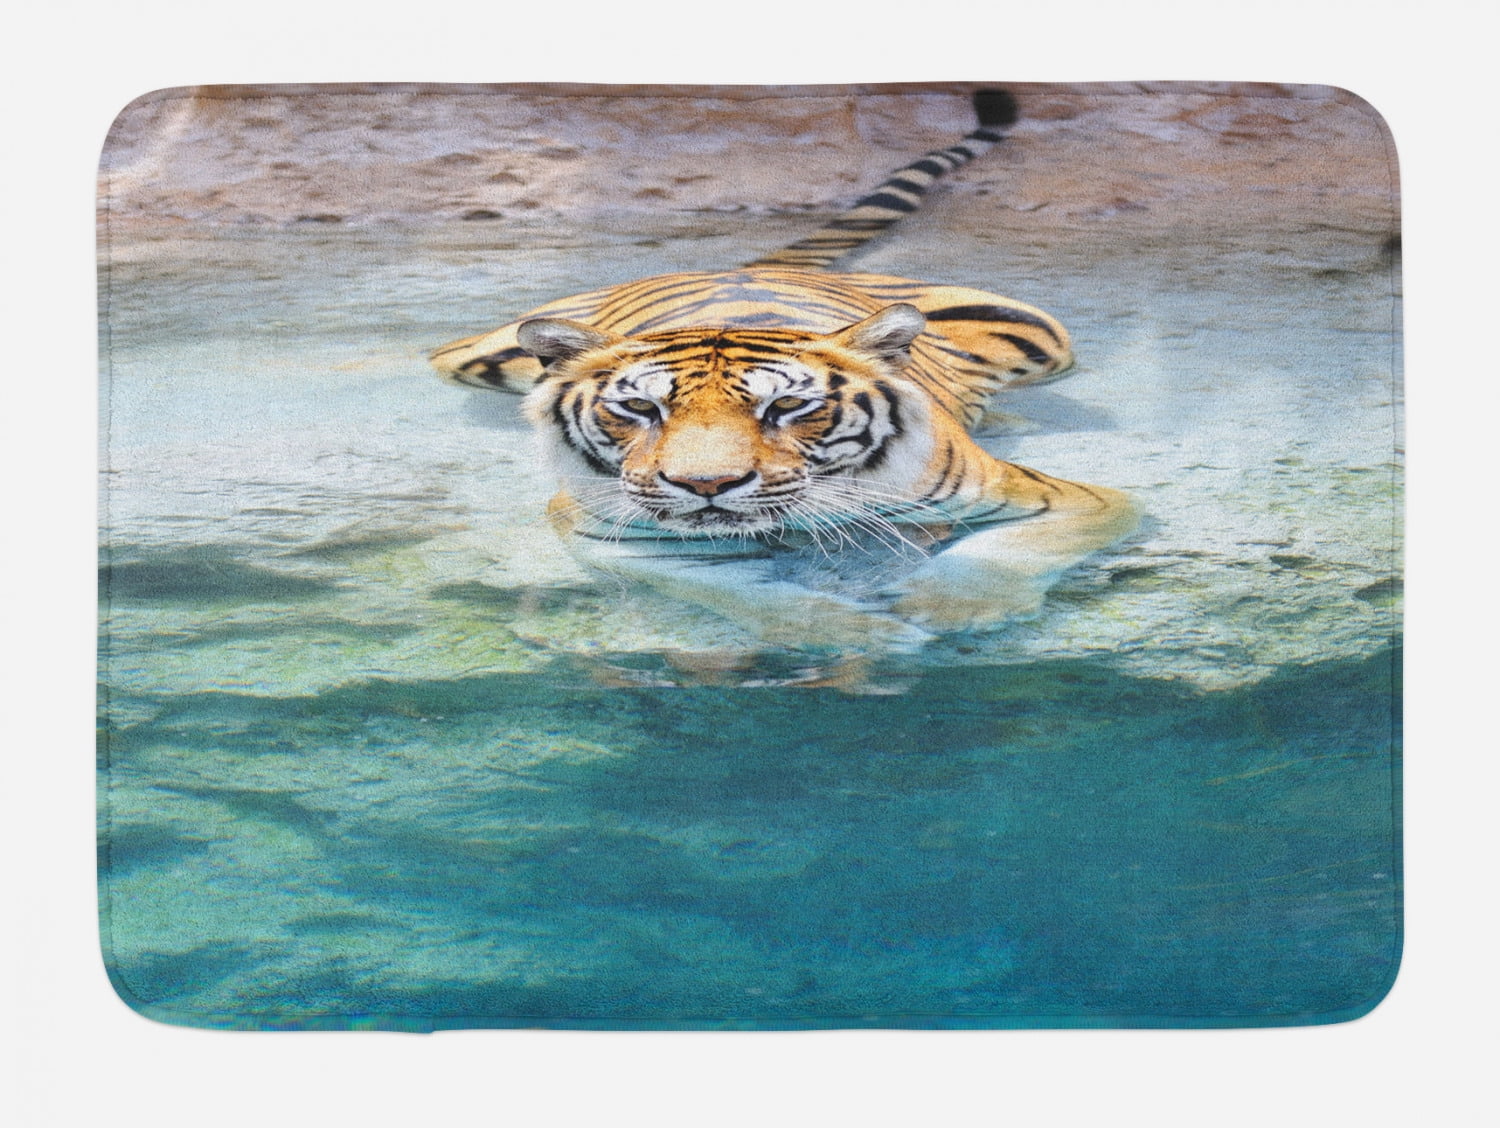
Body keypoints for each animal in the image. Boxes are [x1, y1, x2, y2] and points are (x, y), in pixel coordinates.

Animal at [429, 90, 1136, 650]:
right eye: (641, 409)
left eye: (787, 408)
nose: (707, 485)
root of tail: (740, 264)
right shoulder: (611, 533)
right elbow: (745, 593)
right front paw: (855, 633)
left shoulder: (1081, 501)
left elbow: (1004, 556)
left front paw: (949, 609)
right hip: (469, 357)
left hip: (1045, 335)